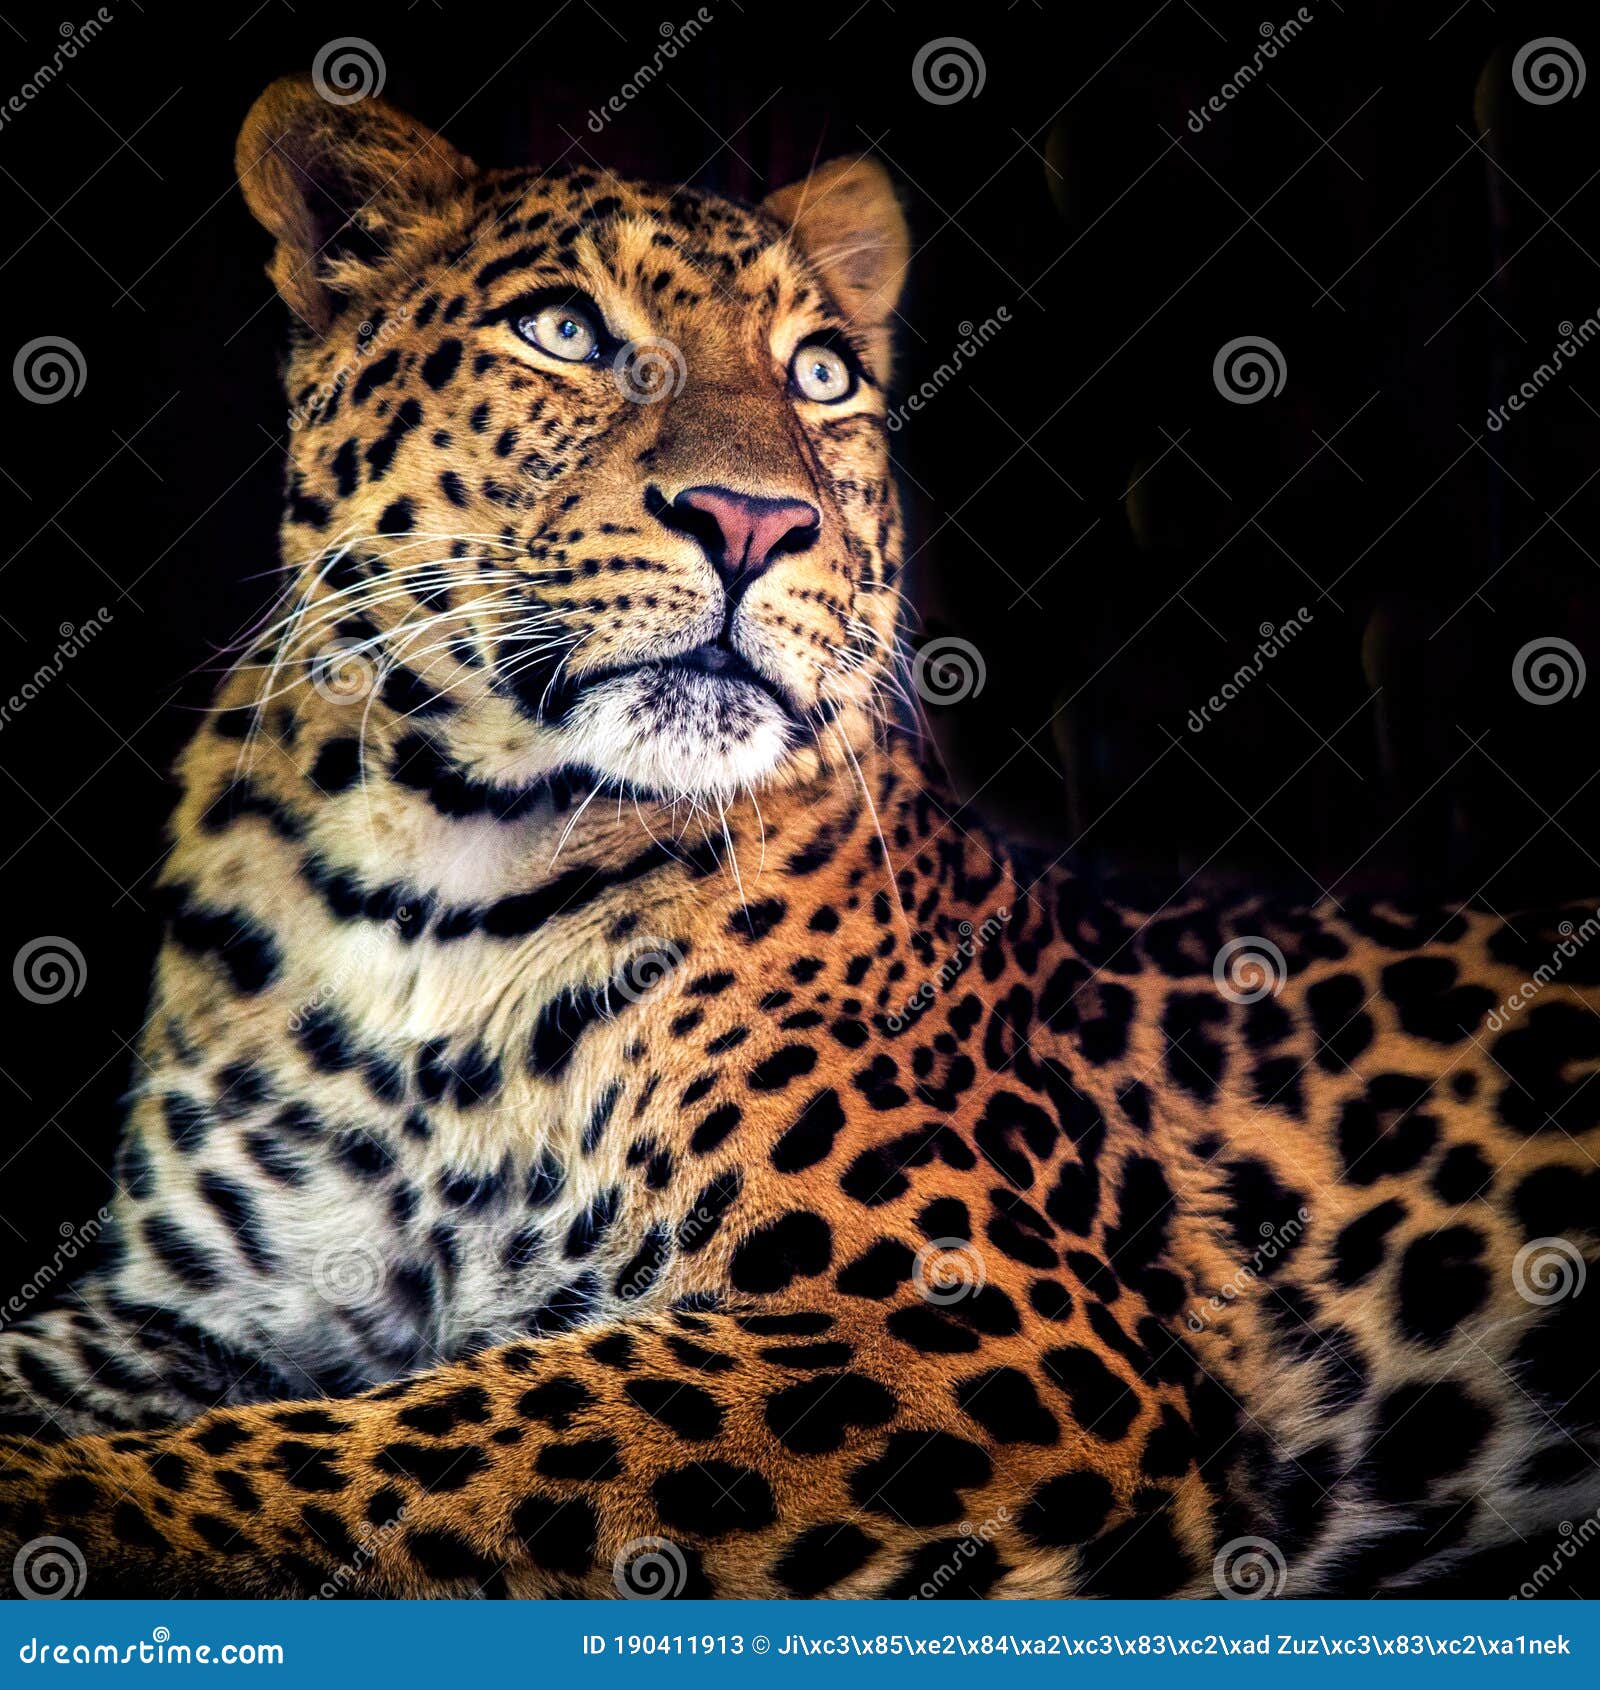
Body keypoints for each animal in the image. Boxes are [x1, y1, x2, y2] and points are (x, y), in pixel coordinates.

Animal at [1, 72, 1598, 1602]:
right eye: (563, 330)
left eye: (820, 373)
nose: (753, 521)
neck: (429, 874)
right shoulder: (184, 1305)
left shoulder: (983, 1317)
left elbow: (446, 1428)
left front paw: (74, 1501)